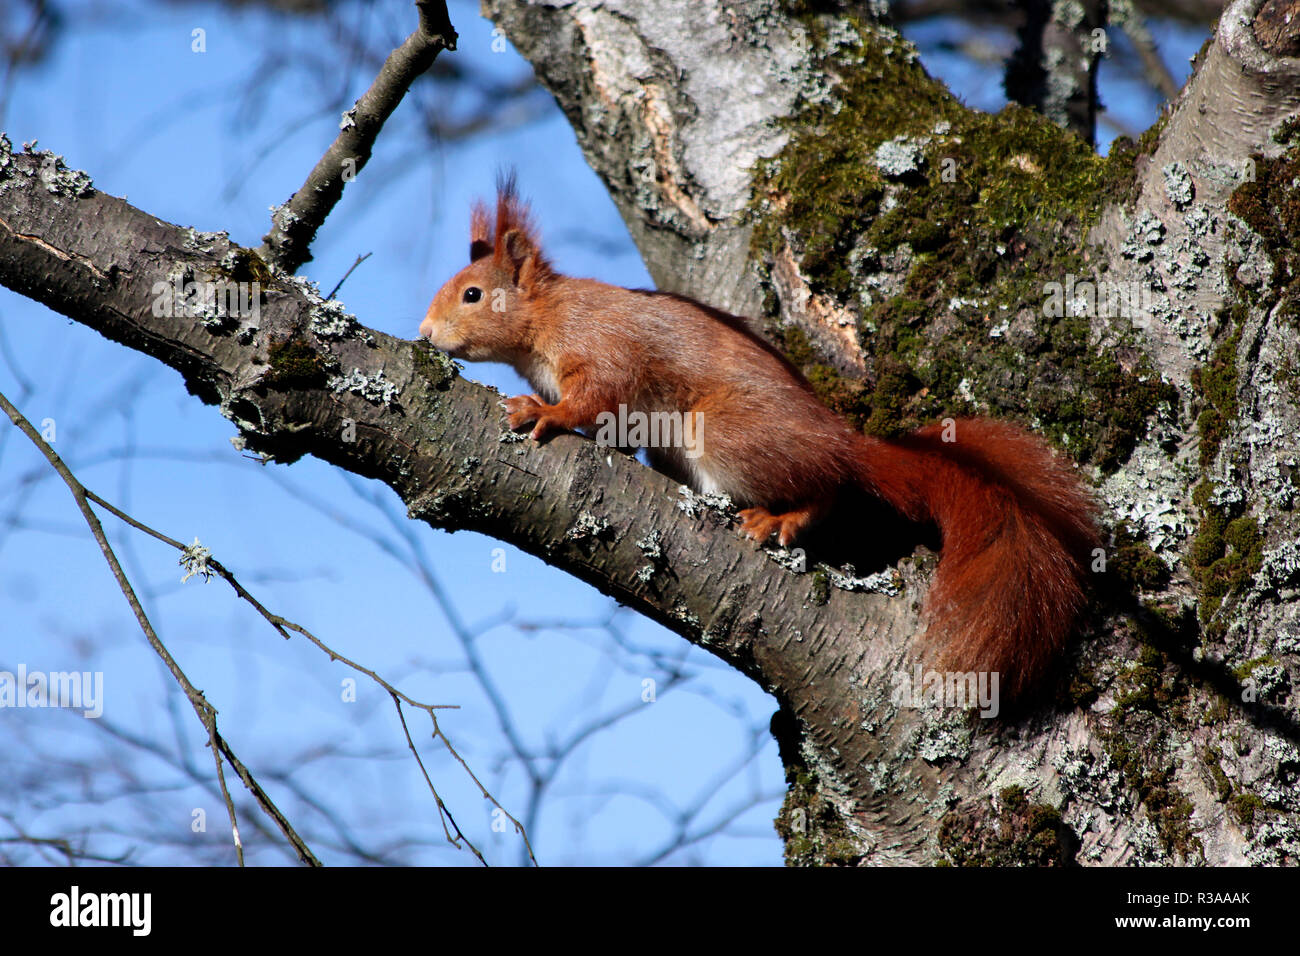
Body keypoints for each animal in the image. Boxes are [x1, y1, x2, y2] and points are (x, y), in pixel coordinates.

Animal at [420, 176, 1101, 698]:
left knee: (829, 488)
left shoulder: (604, 349)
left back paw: (782, 518)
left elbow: (593, 396)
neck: (548, 319)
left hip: (727, 434)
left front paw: (547, 413)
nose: (425, 334)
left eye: (473, 294)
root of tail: (846, 442)